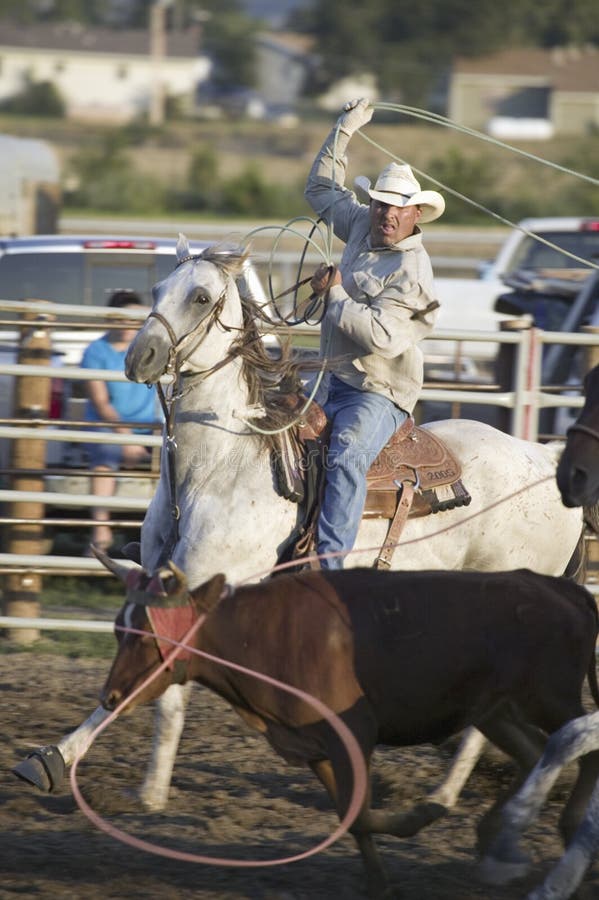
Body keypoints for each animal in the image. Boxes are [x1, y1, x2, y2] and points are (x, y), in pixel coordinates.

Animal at [98, 555, 599, 899]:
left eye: (148, 633)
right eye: (118, 630)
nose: (110, 698)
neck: (255, 636)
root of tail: (559, 587)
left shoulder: (352, 732)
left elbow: (359, 812)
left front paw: (419, 815)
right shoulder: (313, 745)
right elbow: (350, 817)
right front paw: (379, 881)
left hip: (550, 697)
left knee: (580, 748)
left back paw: (566, 829)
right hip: (497, 710)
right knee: (535, 754)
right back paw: (500, 841)